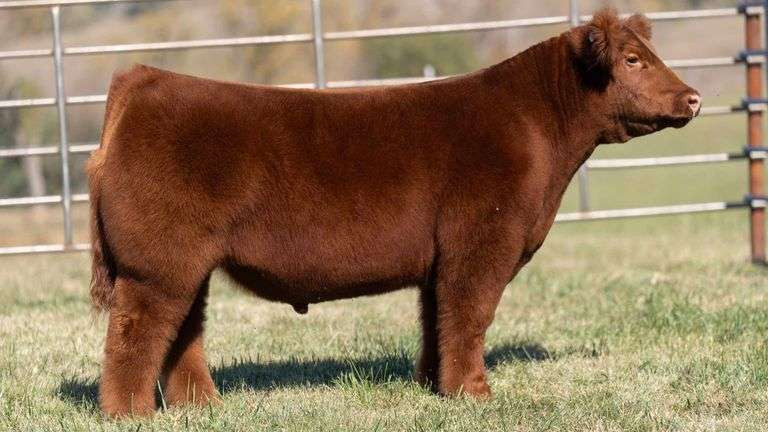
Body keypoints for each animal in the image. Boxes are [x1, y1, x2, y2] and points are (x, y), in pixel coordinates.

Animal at [86, 8, 701, 417]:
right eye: (632, 59)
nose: (692, 97)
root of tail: (144, 79)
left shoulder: (442, 259)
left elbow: (437, 320)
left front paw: (435, 387)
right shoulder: (482, 244)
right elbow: (471, 316)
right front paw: (475, 394)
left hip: (185, 264)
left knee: (183, 330)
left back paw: (202, 406)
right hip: (157, 265)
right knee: (136, 331)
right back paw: (130, 414)